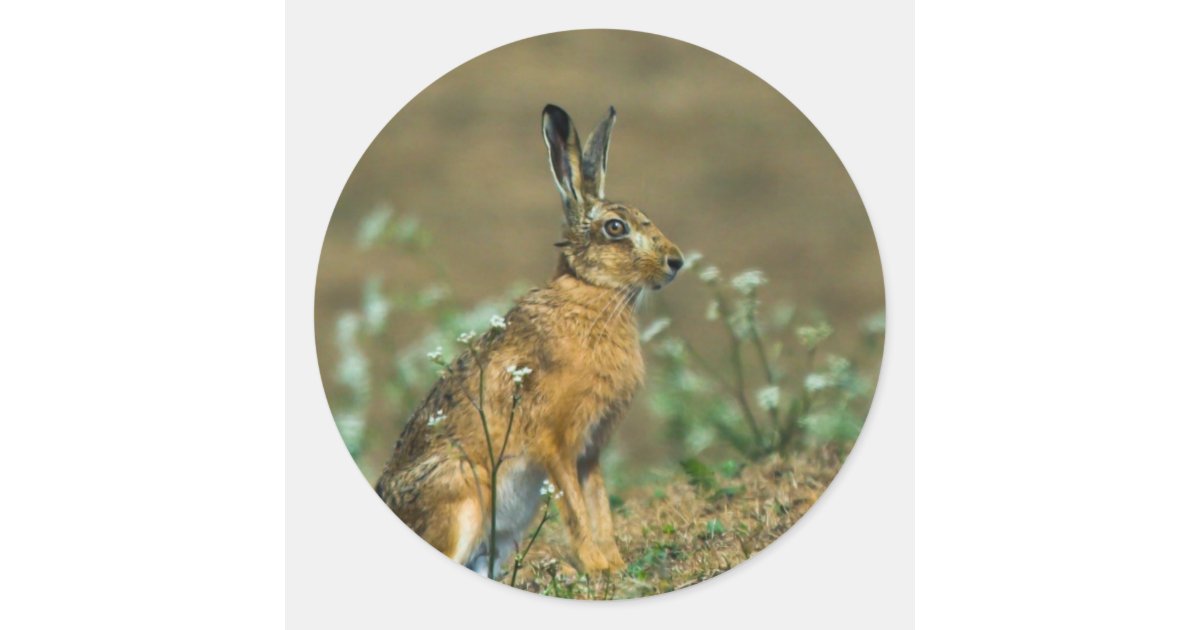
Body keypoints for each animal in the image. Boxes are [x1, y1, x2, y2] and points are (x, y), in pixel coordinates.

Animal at [374, 104, 684, 577]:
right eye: (616, 228)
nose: (676, 262)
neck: (589, 291)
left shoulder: (590, 451)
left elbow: (599, 507)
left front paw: (613, 565)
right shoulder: (556, 441)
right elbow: (576, 510)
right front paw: (595, 566)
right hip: (462, 495)